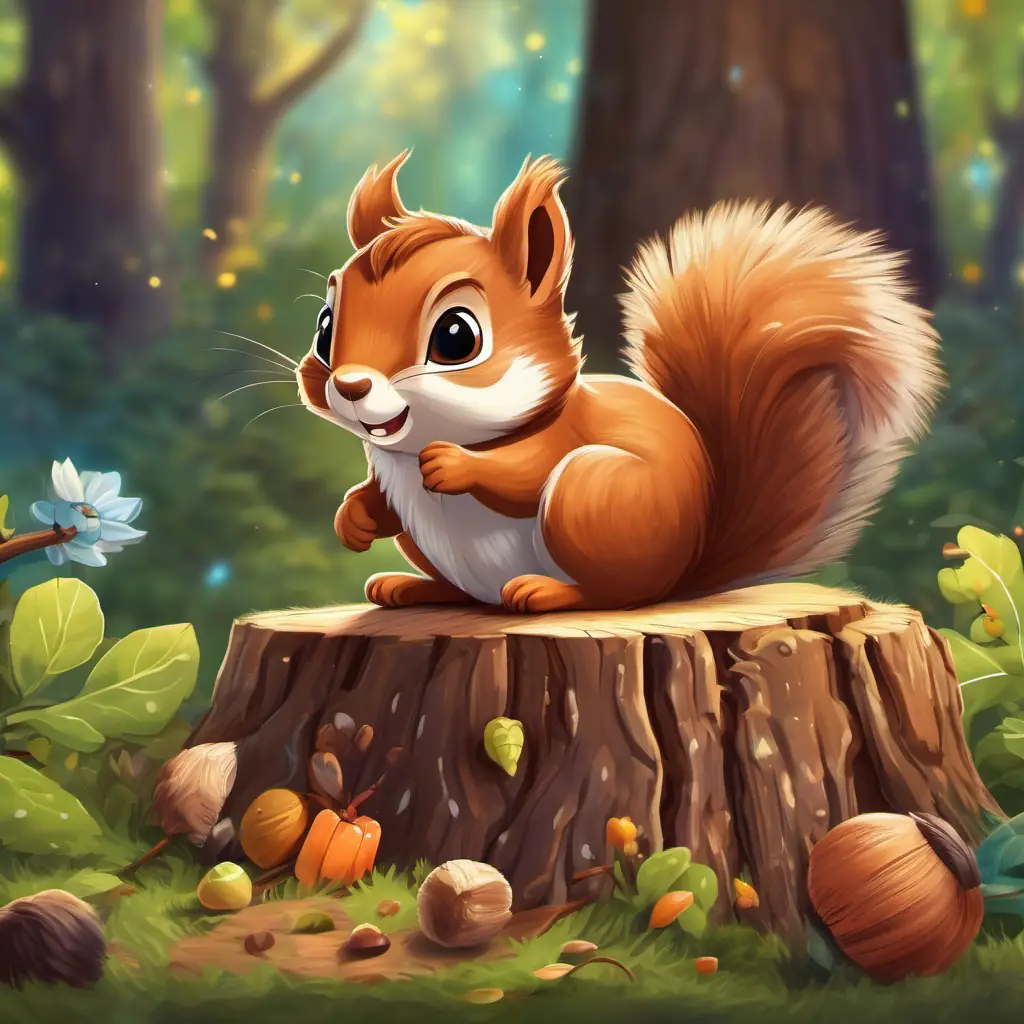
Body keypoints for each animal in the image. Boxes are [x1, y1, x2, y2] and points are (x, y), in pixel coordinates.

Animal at [296, 150, 943, 613]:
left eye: (457, 337)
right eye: (325, 328)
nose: (350, 385)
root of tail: (684, 571)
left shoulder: (561, 438)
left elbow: (522, 474)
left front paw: (454, 466)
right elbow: (381, 503)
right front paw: (353, 518)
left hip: (592, 497)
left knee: (618, 593)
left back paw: (544, 593)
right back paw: (409, 588)